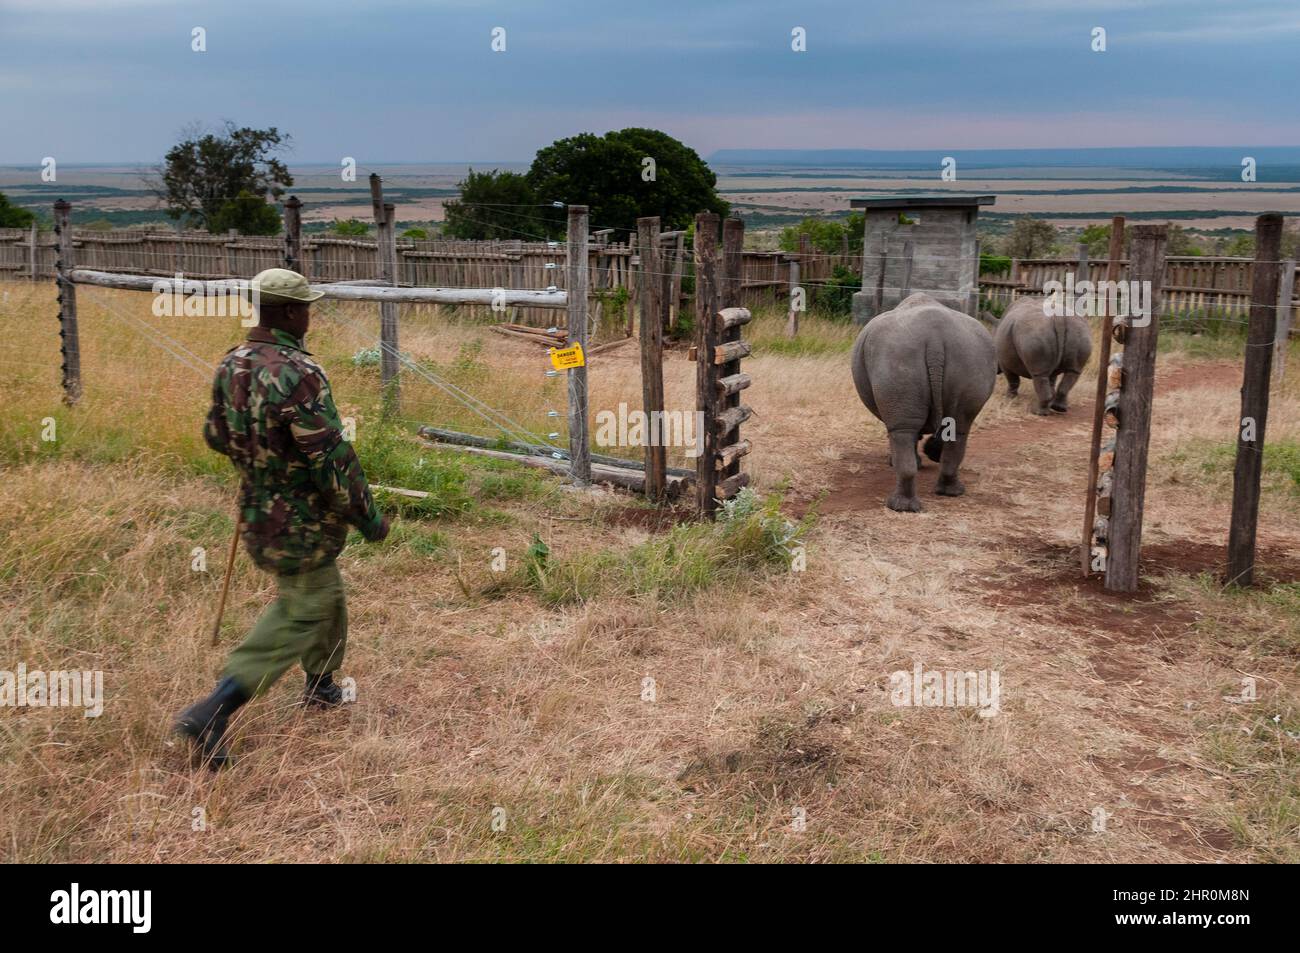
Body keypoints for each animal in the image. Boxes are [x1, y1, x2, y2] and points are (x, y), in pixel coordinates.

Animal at [850, 293, 997, 512]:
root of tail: (935, 339)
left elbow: (904, 434)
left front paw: (897, 461)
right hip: (971, 355)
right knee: (960, 426)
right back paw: (951, 493)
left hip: (897, 355)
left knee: (903, 431)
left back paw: (899, 507)